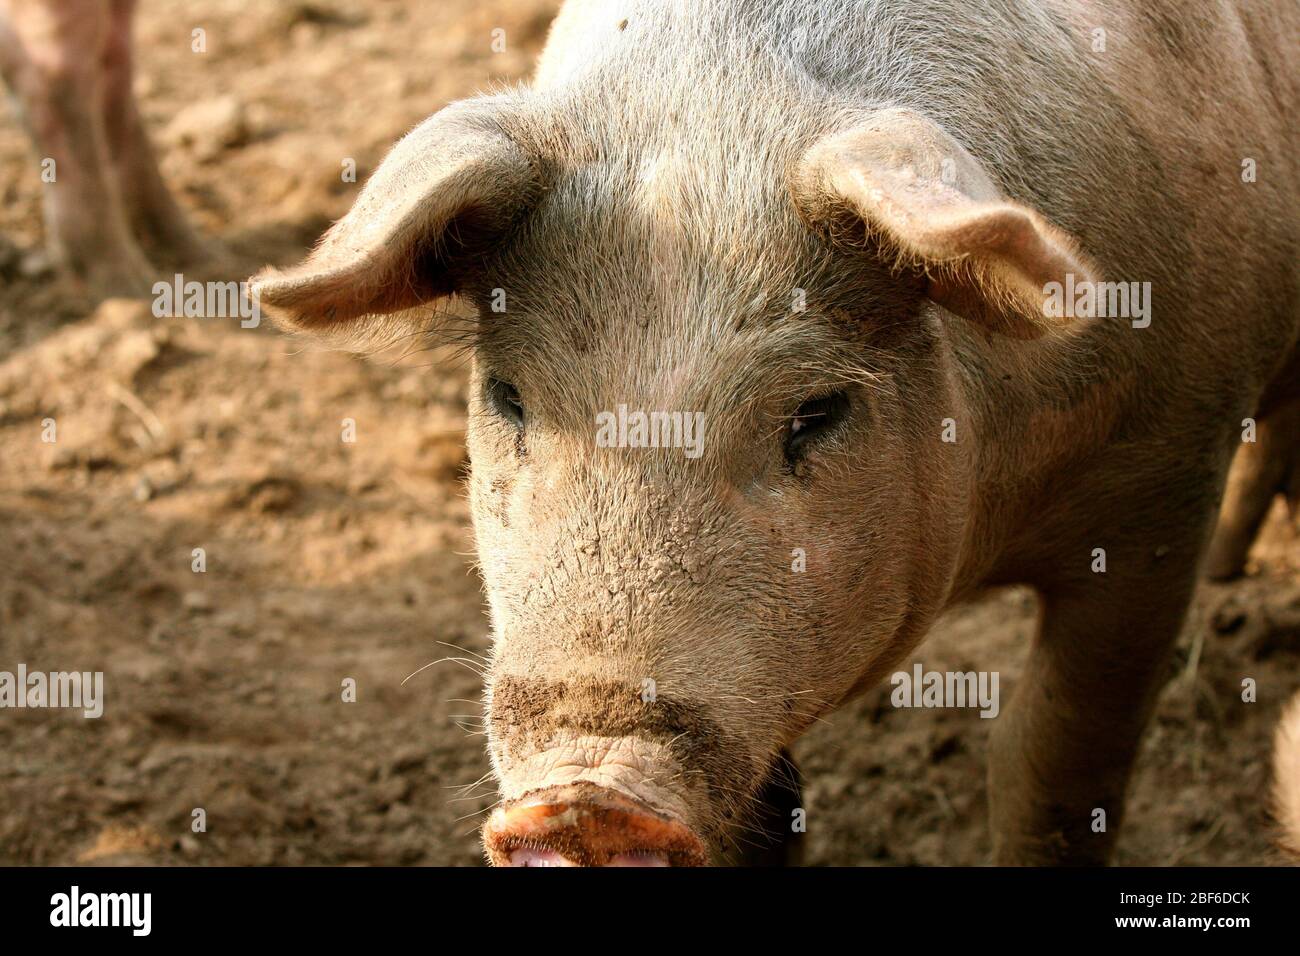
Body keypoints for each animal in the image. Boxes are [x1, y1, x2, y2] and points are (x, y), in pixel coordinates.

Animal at [252, 0, 1299, 865]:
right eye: (509, 397)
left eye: (815, 412)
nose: (588, 798)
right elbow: (769, 815)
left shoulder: (1166, 478)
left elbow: (1055, 763)